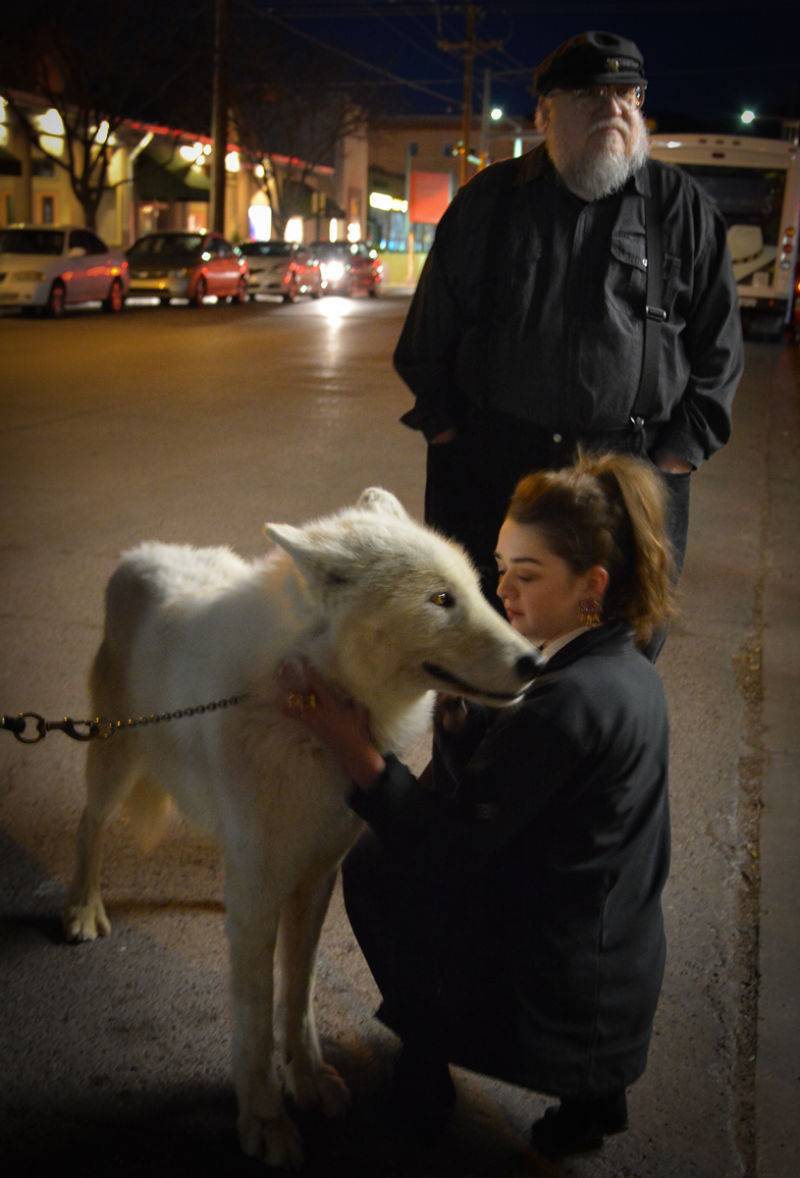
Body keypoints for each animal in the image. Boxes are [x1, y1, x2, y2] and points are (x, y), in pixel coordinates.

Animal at [63, 487, 539, 1170]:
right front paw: (265, 1120)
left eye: (477, 588)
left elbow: (298, 994)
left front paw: (308, 1079)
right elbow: (254, 1018)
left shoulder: (316, 880)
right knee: (89, 825)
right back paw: (82, 909)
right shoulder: (264, 892)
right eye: (440, 600)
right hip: (114, 762)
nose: (536, 661)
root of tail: (140, 553)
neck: (302, 714)